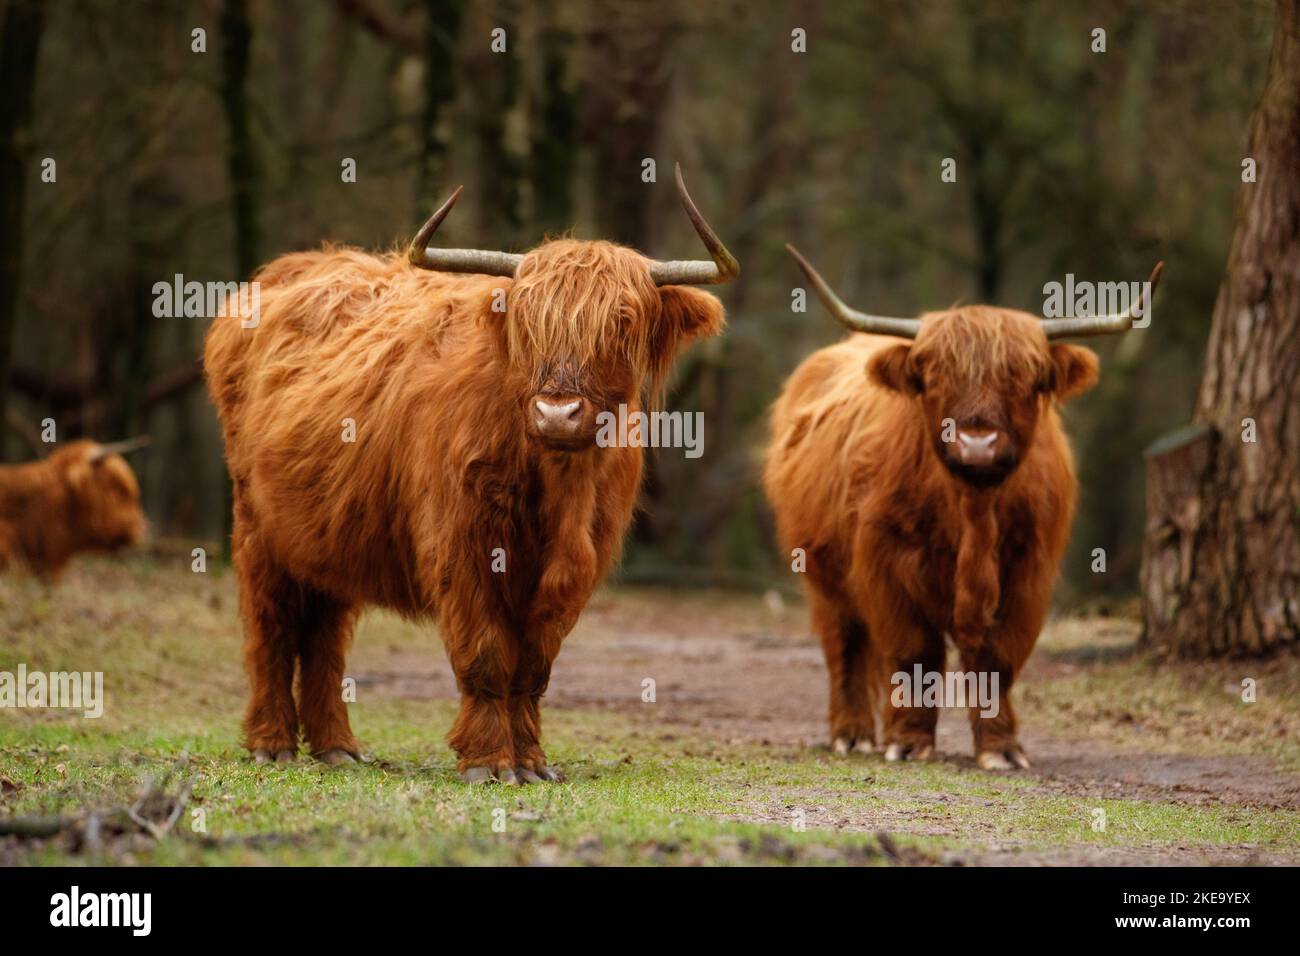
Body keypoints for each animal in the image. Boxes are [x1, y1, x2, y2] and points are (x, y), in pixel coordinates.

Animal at [203, 165, 737, 781]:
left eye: (622, 323)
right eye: (528, 323)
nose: (557, 412)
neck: (560, 484)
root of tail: (286, 271)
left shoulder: (577, 566)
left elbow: (533, 665)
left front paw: (531, 760)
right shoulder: (463, 547)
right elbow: (486, 656)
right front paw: (489, 761)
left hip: (322, 536)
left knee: (322, 638)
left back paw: (337, 746)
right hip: (257, 525)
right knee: (270, 628)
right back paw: (272, 743)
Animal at [764, 246, 1160, 769]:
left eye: (1028, 378)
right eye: (934, 377)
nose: (977, 442)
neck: (973, 513)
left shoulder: (1028, 574)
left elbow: (998, 660)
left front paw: (1001, 750)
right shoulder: (888, 566)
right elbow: (913, 654)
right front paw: (909, 742)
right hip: (822, 575)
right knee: (843, 646)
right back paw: (852, 734)